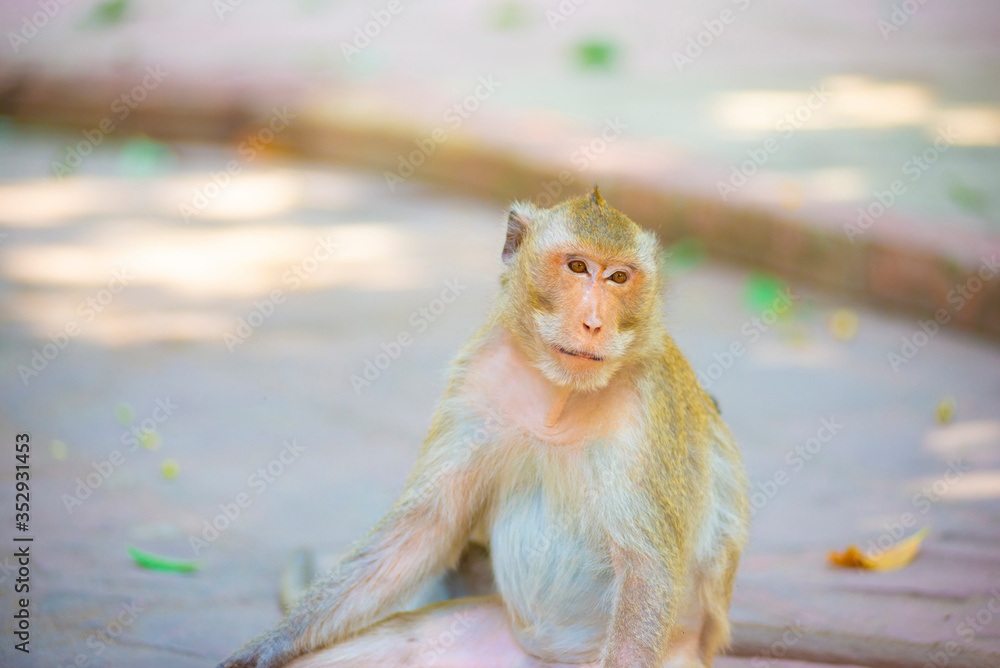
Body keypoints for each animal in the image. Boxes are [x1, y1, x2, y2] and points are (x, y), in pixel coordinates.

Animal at [220, 187, 749, 668]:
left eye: (619, 277)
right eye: (578, 267)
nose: (595, 323)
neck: (560, 396)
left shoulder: (648, 405)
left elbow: (646, 567)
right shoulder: (478, 376)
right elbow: (427, 527)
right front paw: (268, 646)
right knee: (407, 640)